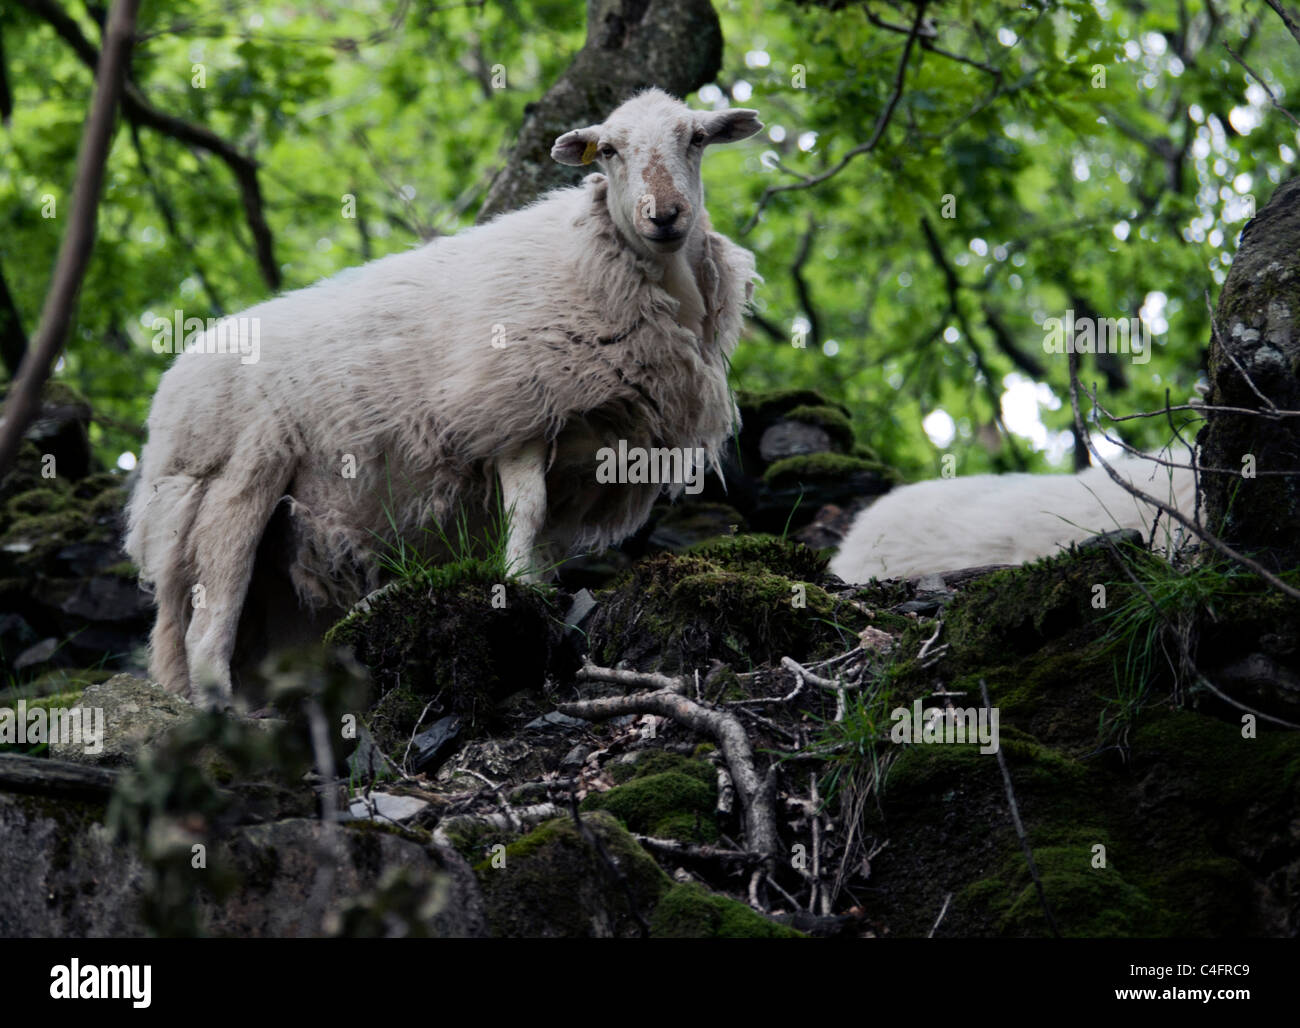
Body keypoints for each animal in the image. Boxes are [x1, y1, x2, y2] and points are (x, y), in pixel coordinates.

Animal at [125, 88, 762, 702]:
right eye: (608, 150)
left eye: (697, 138)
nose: (665, 215)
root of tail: (174, 376)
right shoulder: (514, 406)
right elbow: (525, 512)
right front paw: (519, 594)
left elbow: (545, 538)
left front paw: (539, 593)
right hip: (227, 488)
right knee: (207, 636)